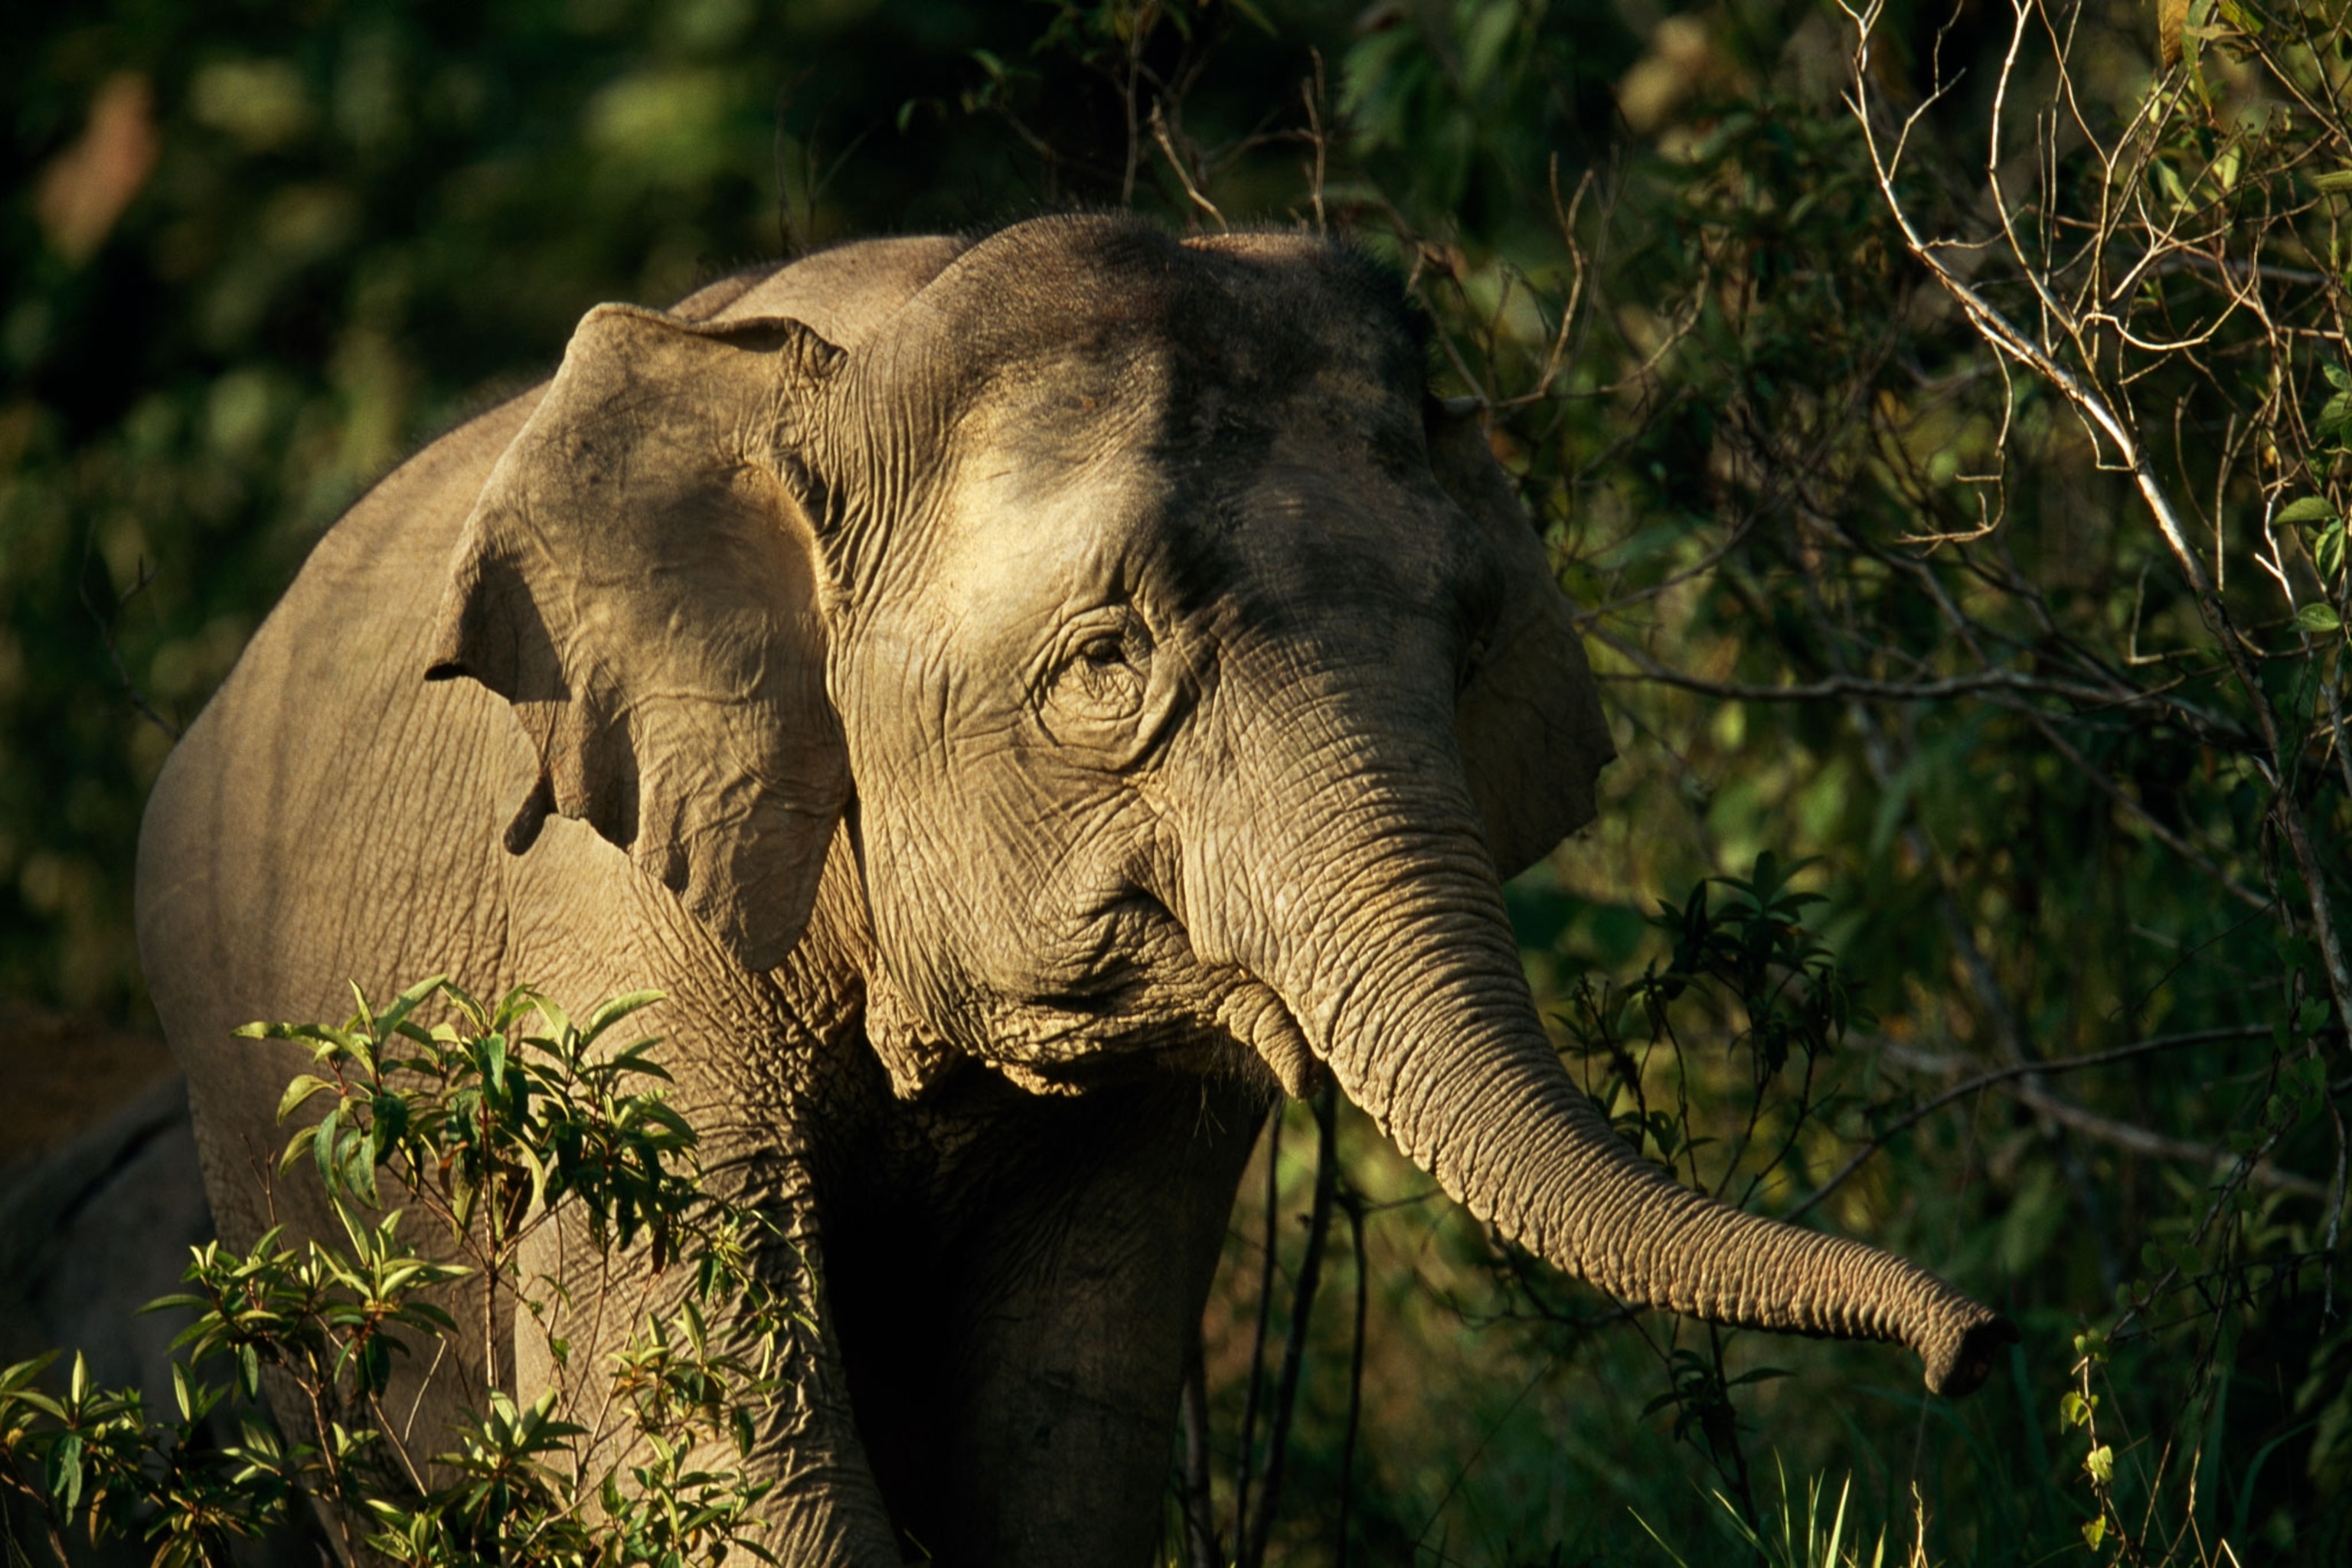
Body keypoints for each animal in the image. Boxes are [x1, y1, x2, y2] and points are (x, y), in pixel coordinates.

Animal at [135, 214, 2015, 1567]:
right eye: (1105, 663)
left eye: (1471, 637)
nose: (1979, 1343)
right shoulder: (616, 934)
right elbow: (702, 1423)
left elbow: (1061, 1421)